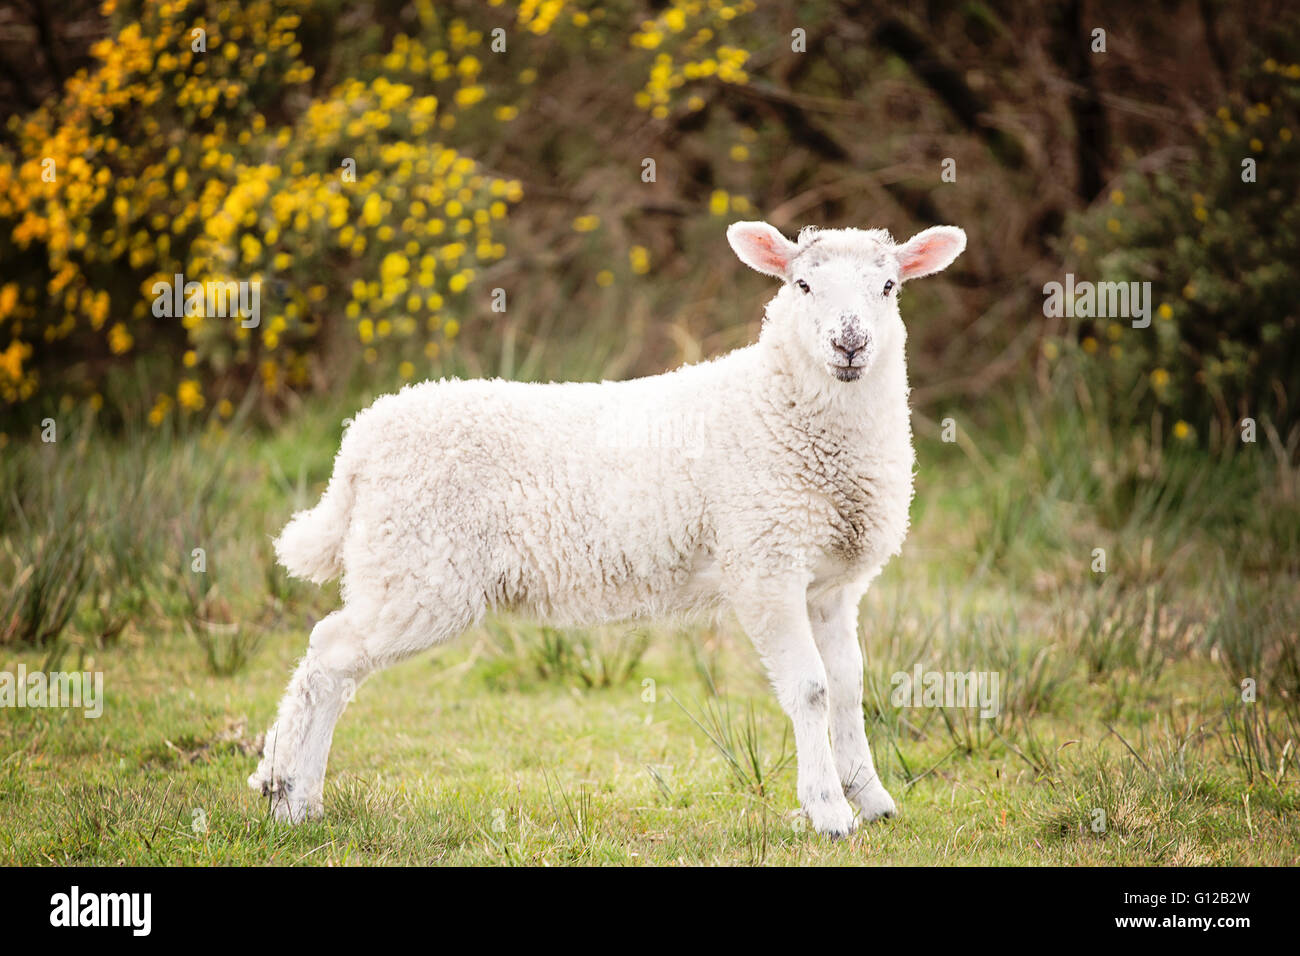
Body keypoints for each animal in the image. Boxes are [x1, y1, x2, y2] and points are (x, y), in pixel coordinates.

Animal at [249, 219, 967, 836]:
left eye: (889, 287)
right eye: (802, 286)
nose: (850, 344)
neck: (780, 409)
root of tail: (361, 442)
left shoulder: (832, 585)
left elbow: (847, 687)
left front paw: (872, 799)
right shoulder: (764, 565)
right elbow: (811, 690)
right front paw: (829, 812)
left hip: (403, 564)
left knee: (331, 657)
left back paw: (289, 792)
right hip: (418, 568)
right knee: (328, 656)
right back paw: (289, 796)